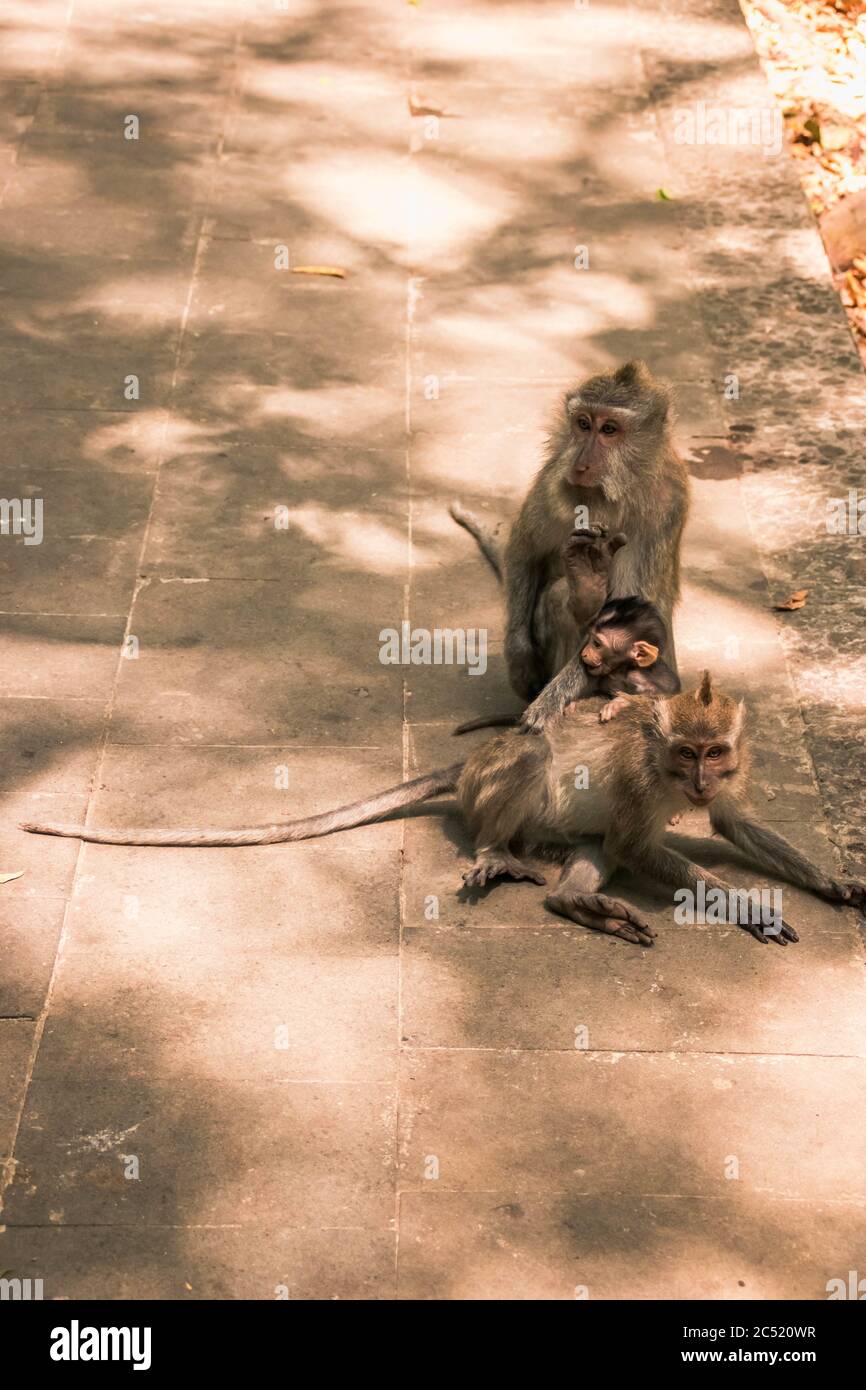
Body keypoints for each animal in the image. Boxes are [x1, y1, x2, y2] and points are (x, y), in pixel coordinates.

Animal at [21, 674, 865, 949]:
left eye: (714, 752)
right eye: (683, 752)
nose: (698, 776)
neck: (666, 773)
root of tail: (469, 764)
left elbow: (730, 825)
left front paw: (832, 882)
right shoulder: (640, 782)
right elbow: (639, 843)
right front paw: (748, 904)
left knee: (592, 847)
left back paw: (575, 902)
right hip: (499, 784)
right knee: (536, 762)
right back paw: (499, 853)